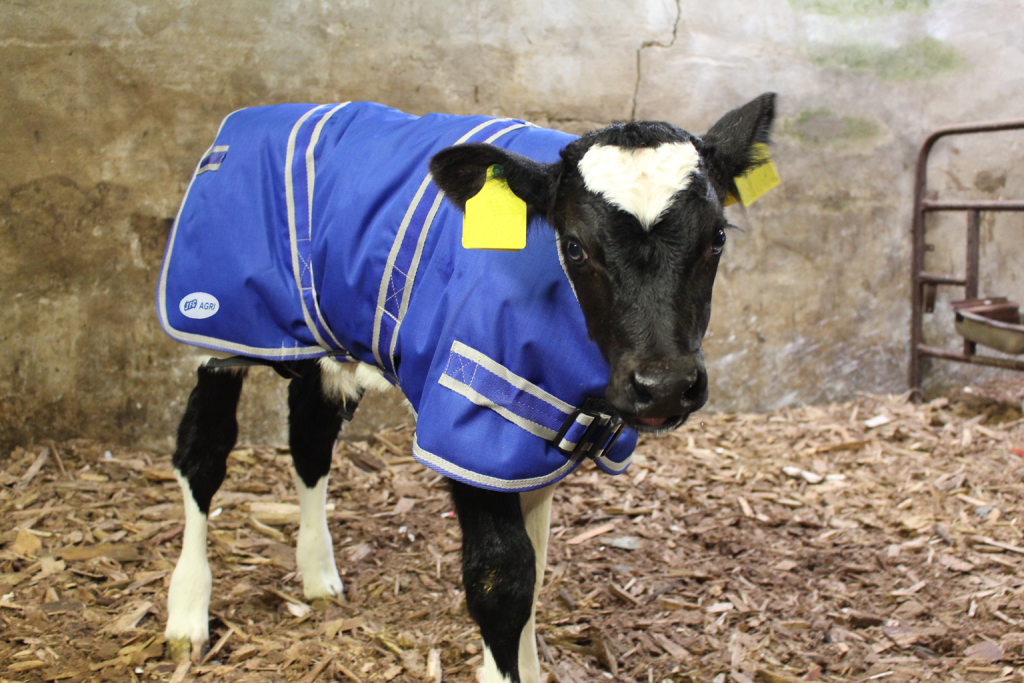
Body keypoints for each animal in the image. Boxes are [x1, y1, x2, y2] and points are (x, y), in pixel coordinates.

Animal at [157, 93, 776, 683]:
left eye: (717, 237)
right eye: (576, 246)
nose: (664, 384)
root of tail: (251, 118)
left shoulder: (535, 431)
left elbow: (537, 567)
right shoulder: (472, 421)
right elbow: (503, 580)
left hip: (323, 337)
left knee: (311, 436)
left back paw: (318, 577)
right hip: (217, 317)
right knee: (202, 451)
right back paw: (187, 616)